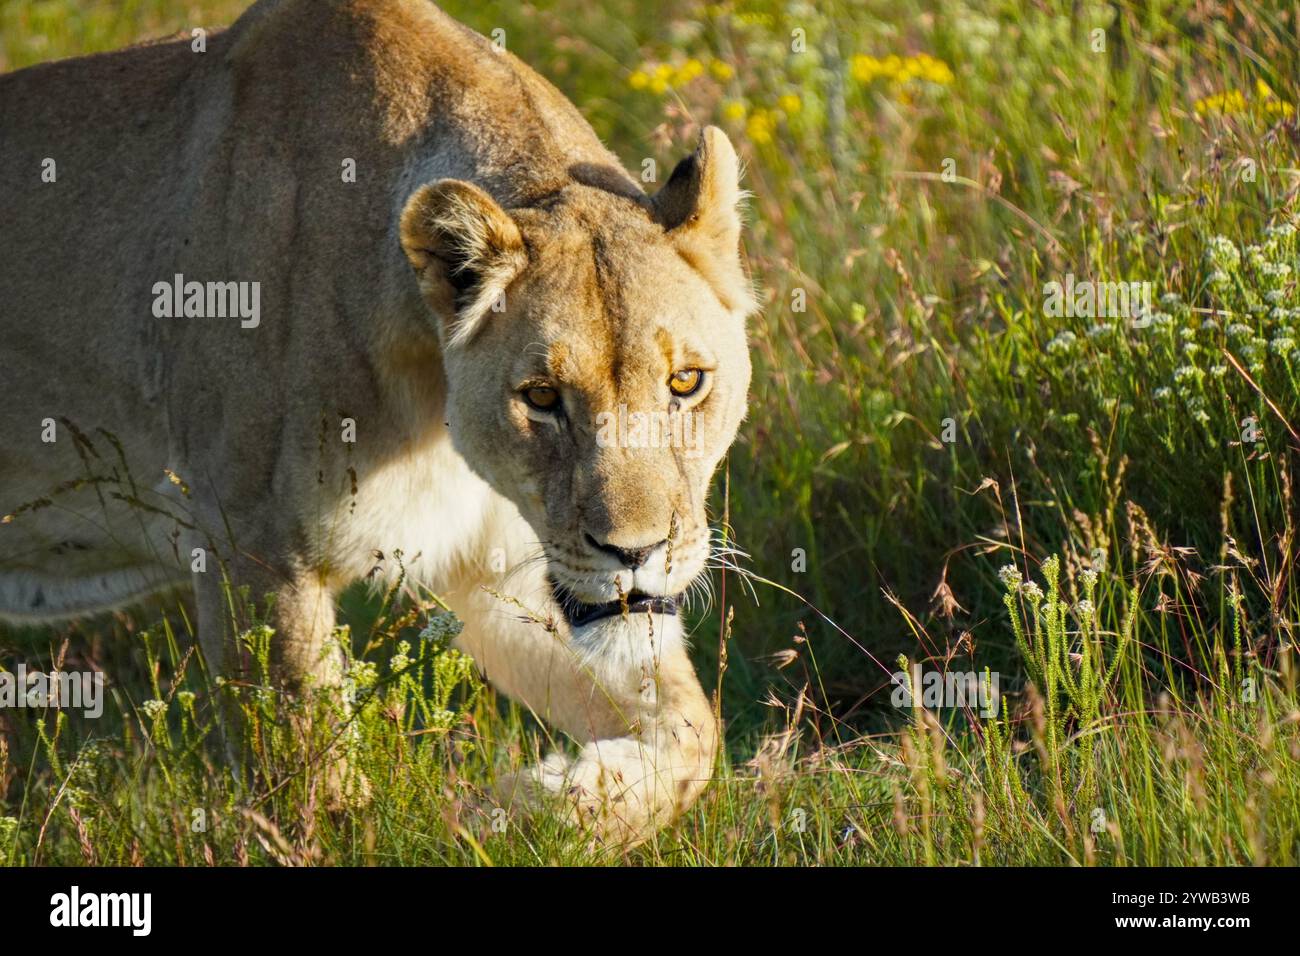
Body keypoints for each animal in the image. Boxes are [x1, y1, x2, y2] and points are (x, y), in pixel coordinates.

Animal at [0, 0, 755, 841]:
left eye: (686, 382)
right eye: (541, 398)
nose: (635, 552)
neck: (433, 404)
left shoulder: (502, 570)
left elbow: (693, 734)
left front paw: (538, 803)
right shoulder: (254, 550)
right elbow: (315, 799)